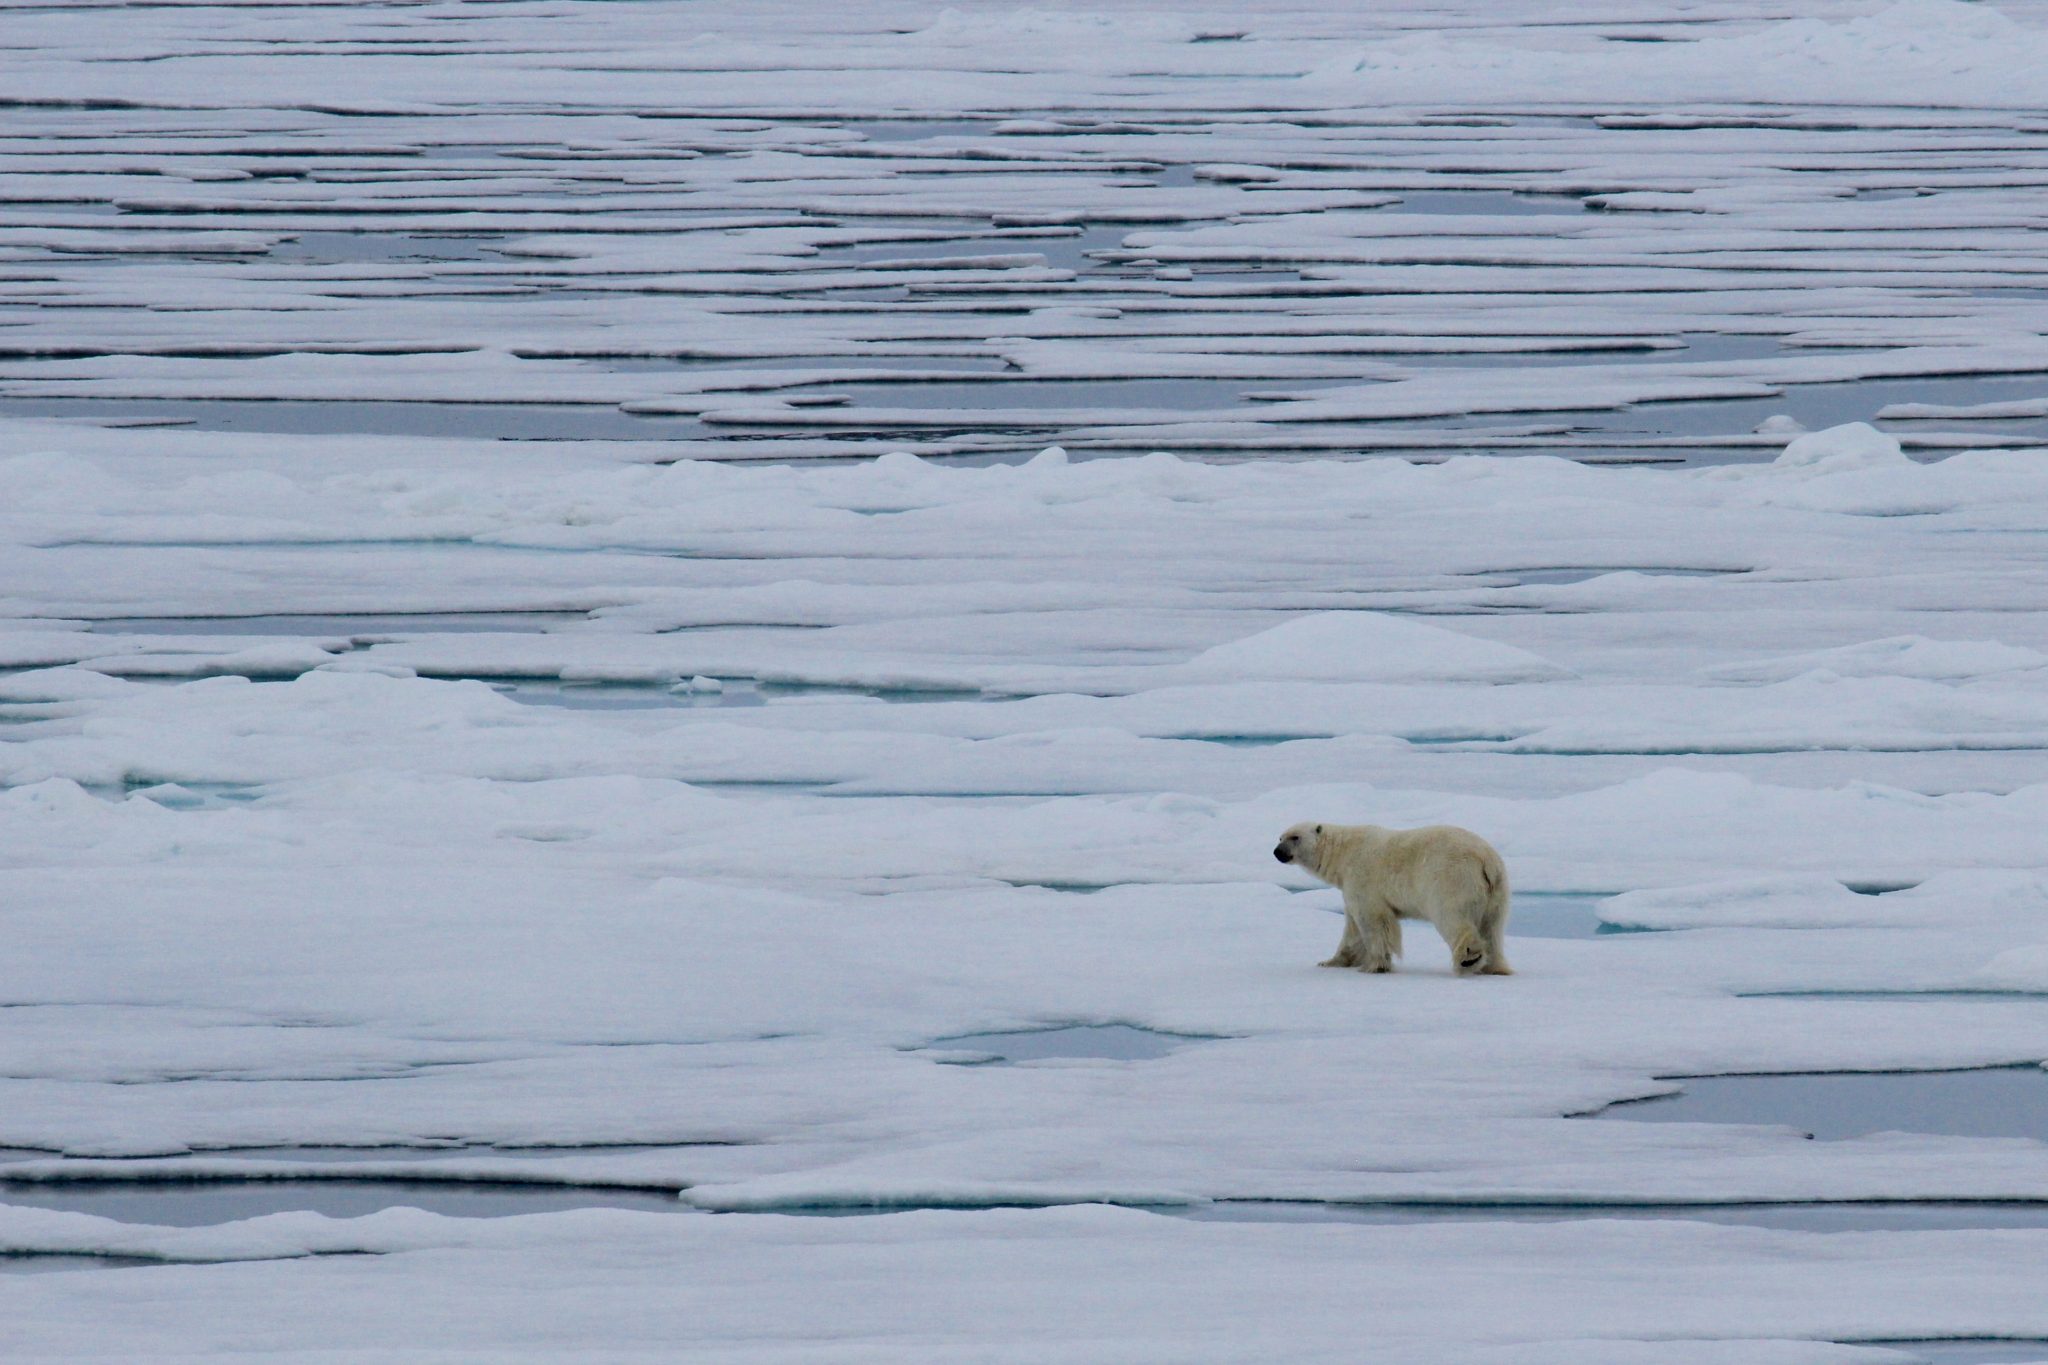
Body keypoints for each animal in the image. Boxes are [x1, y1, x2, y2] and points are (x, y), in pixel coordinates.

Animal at [1273, 821, 1511, 976]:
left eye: (1295, 837)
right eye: (1280, 837)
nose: (1277, 852)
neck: (1343, 853)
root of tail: (1486, 860)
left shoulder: (1363, 880)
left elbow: (1373, 922)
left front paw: (1374, 966)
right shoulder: (1350, 889)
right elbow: (1353, 929)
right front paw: (1330, 962)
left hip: (1452, 880)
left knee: (1453, 917)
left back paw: (1468, 959)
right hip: (1497, 892)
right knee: (1492, 927)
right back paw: (1495, 968)